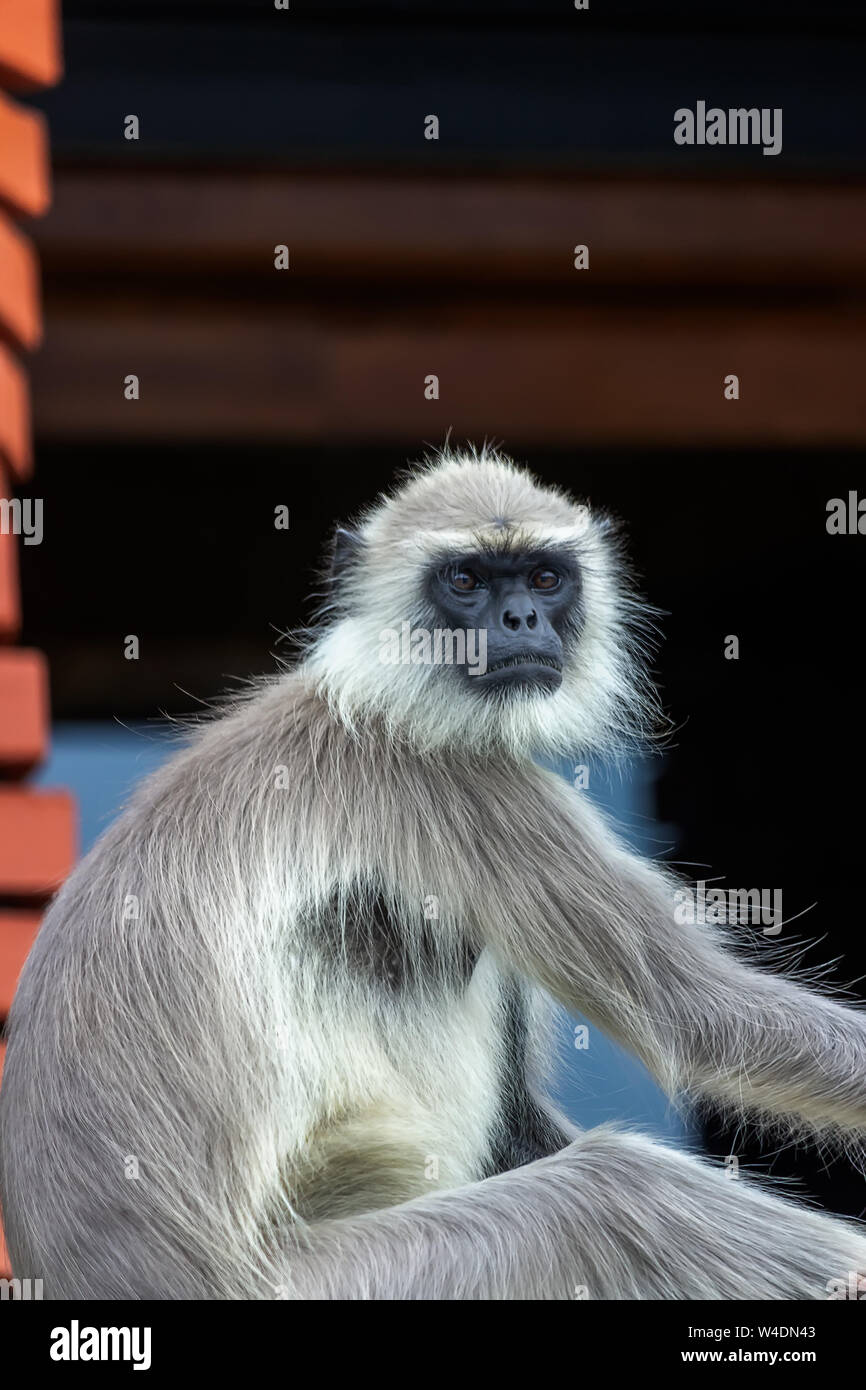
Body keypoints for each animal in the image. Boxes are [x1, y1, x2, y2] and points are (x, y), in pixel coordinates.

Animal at [2, 444, 866, 1300]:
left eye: (543, 579)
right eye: (467, 582)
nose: (520, 621)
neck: (381, 699)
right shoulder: (462, 781)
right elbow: (698, 1018)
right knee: (621, 1193)